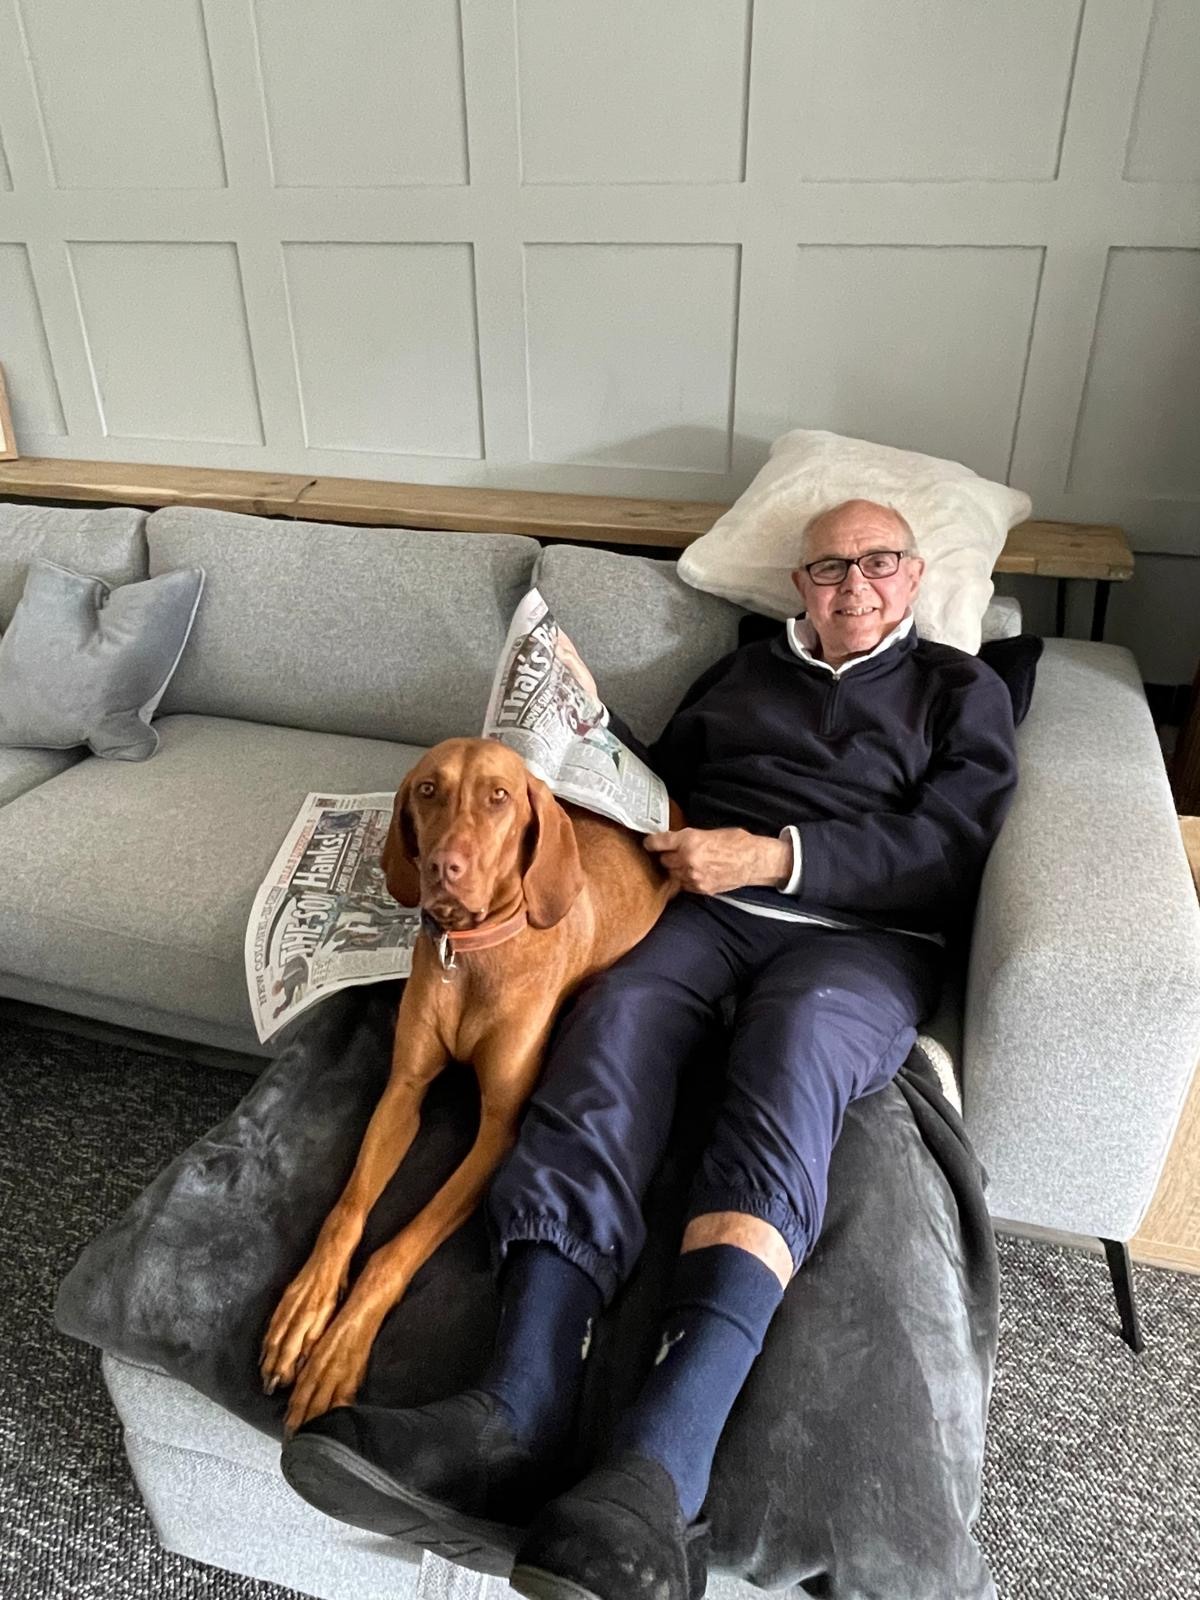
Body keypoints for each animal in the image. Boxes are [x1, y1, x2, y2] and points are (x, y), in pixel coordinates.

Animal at [259, 735, 680, 1433]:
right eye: (428, 790)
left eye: (499, 797)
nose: (442, 867)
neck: (471, 954)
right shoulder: (403, 1091)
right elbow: (347, 1212)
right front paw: (307, 1307)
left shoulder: (498, 1133)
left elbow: (398, 1248)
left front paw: (342, 1344)